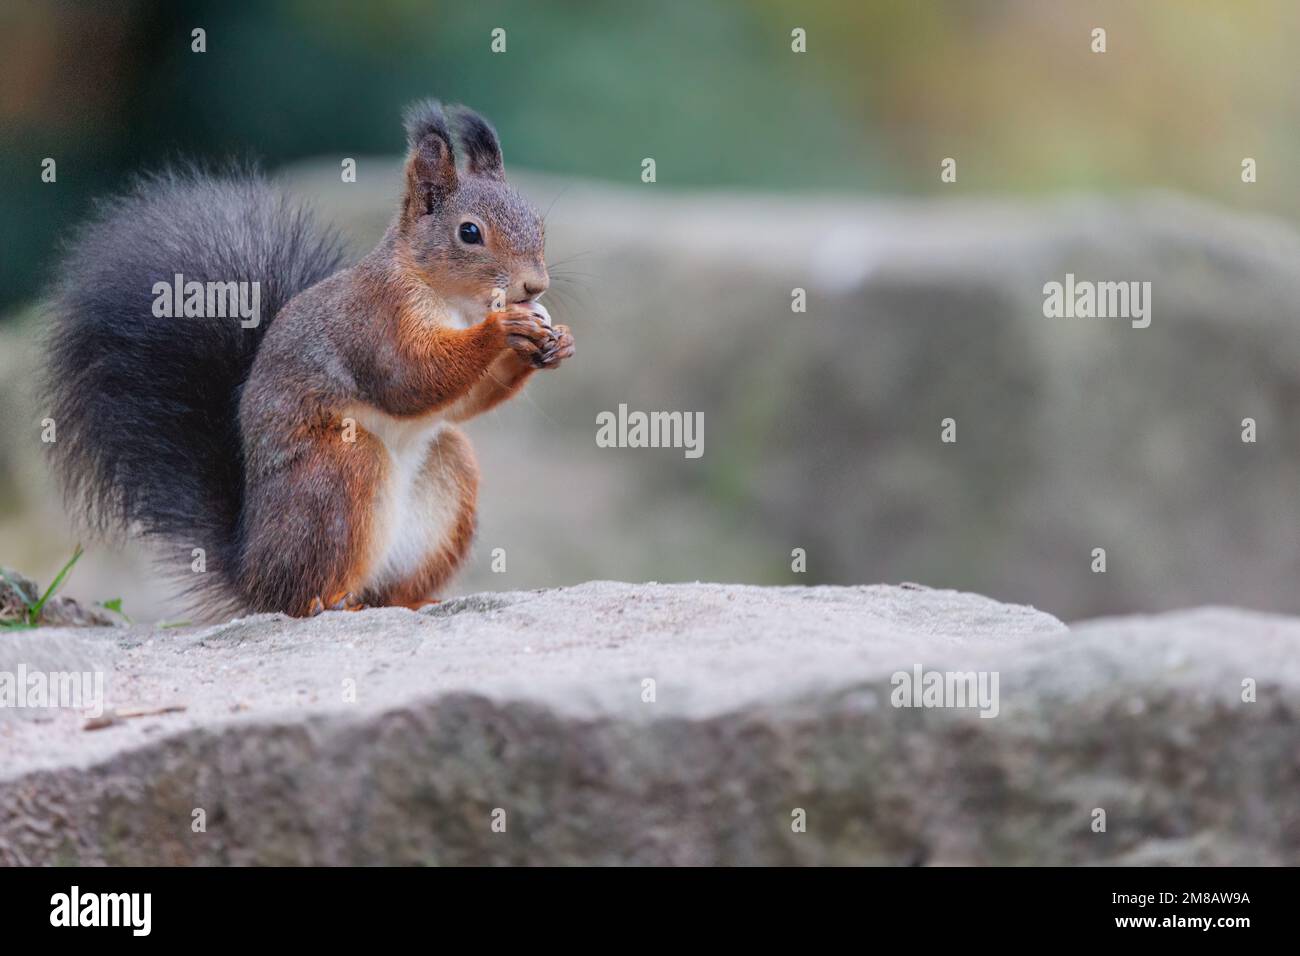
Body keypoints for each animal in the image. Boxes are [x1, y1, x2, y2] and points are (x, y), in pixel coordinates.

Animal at [43, 100, 574, 619]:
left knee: (386, 588)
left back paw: (411, 600)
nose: (535, 286)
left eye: (538, 223)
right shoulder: (375, 322)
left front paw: (556, 343)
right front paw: (502, 330)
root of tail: (251, 572)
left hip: (447, 471)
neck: (452, 301)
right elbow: (409, 378)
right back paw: (331, 602)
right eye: (469, 232)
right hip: (339, 468)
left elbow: (462, 402)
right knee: (301, 594)